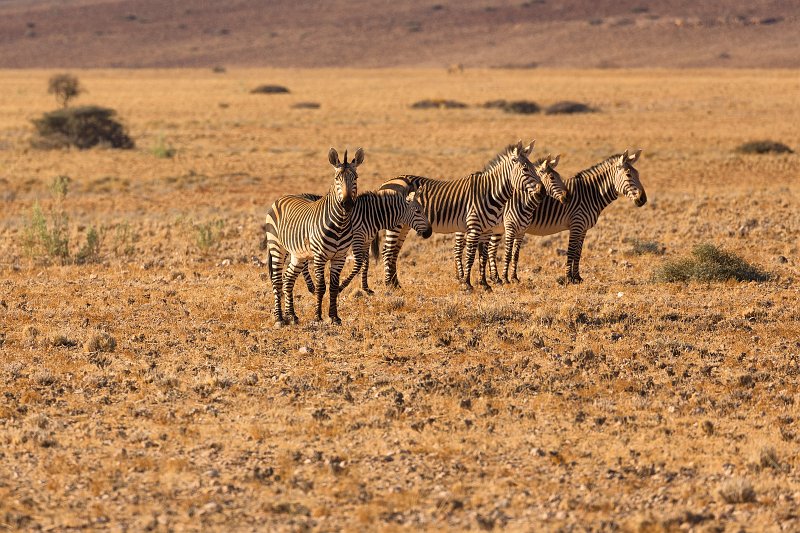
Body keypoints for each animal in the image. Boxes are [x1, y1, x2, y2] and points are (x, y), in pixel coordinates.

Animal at [264, 147, 362, 326]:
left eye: (356, 178)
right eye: (336, 178)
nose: (347, 204)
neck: (340, 223)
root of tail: (281, 197)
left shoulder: (340, 257)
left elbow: (334, 287)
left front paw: (334, 317)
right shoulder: (319, 256)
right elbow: (321, 287)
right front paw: (318, 317)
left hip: (298, 254)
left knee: (288, 279)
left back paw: (292, 316)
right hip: (276, 246)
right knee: (277, 280)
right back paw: (280, 318)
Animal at [297, 186, 433, 295]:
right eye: (418, 211)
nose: (429, 232)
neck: (371, 216)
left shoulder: (367, 241)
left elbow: (366, 263)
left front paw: (366, 288)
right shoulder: (357, 239)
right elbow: (358, 263)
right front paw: (341, 286)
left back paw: (311, 288)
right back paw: (312, 288)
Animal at [379, 140, 542, 291]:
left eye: (535, 169)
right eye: (525, 169)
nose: (542, 193)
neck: (490, 193)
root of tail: (387, 182)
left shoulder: (487, 230)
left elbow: (483, 256)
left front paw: (484, 284)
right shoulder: (475, 228)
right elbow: (470, 256)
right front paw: (467, 284)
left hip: (405, 224)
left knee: (394, 252)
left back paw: (396, 284)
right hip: (396, 224)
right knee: (387, 252)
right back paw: (389, 286)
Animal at [451, 154, 569, 285]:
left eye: (559, 176)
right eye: (552, 177)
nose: (568, 197)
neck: (523, 202)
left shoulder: (522, 231)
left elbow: (515, 255)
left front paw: (514, 277)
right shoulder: (510, 229)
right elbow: (507, 253)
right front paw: (506, 278)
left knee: (487, 249)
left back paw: (489, 277)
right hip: (463, 228)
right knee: (458, 248)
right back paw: (460, 276)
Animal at [485, 149, 646, 284]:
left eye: (638, 174)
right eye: (628, 175)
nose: (643, 199)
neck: (590, 194)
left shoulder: (583, 229)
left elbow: (578, 253)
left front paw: (578, 277)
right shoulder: (576, 225)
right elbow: (571, 251)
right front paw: (569, 278)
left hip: (498, 227)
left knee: (491, 248)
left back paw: (495, 278)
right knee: (492, 249)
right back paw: (497, 278)